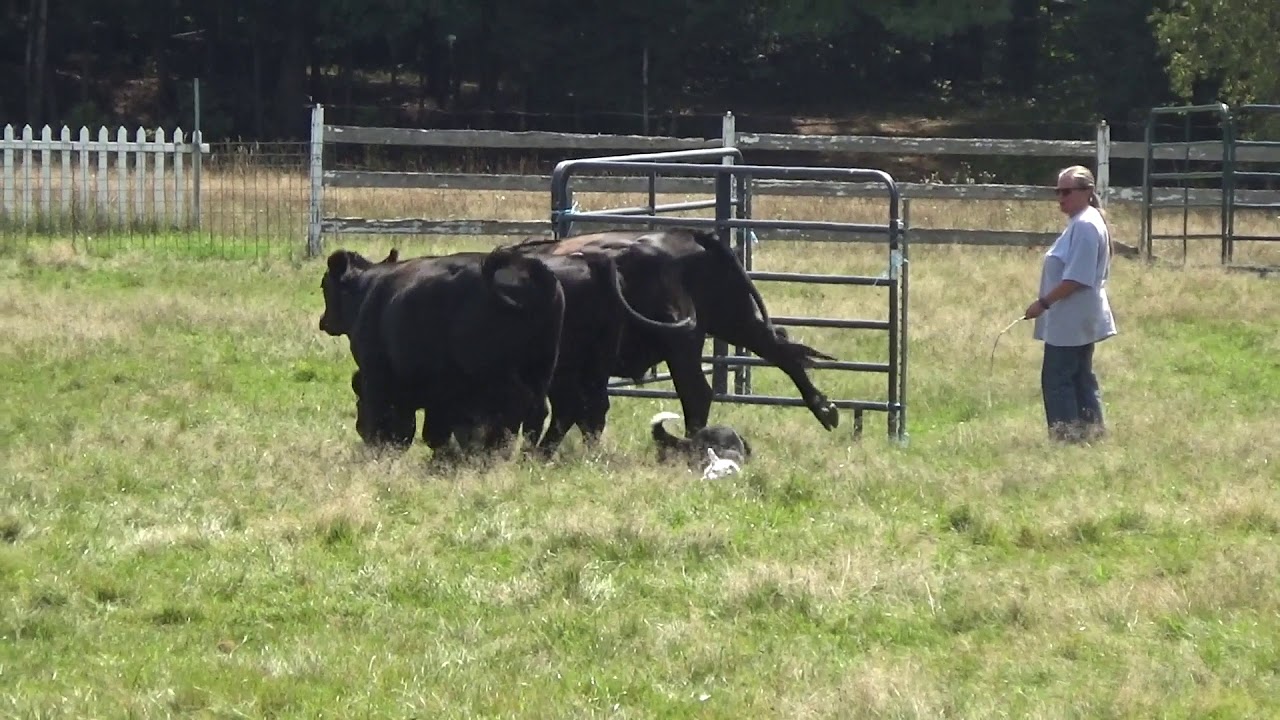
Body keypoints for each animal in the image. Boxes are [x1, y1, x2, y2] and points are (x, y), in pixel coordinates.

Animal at [319, 244, 565, 459]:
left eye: (324, 285)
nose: (324, 321)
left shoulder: (378, 377)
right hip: (540, 369)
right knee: (538, 411)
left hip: (499, 374)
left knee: (517, 407)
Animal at [512, 228, 840, 434]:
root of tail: (688, 235)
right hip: (736, 319)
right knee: (783, 350)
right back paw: (826, 409)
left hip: (681, 339)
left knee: (697, 393)